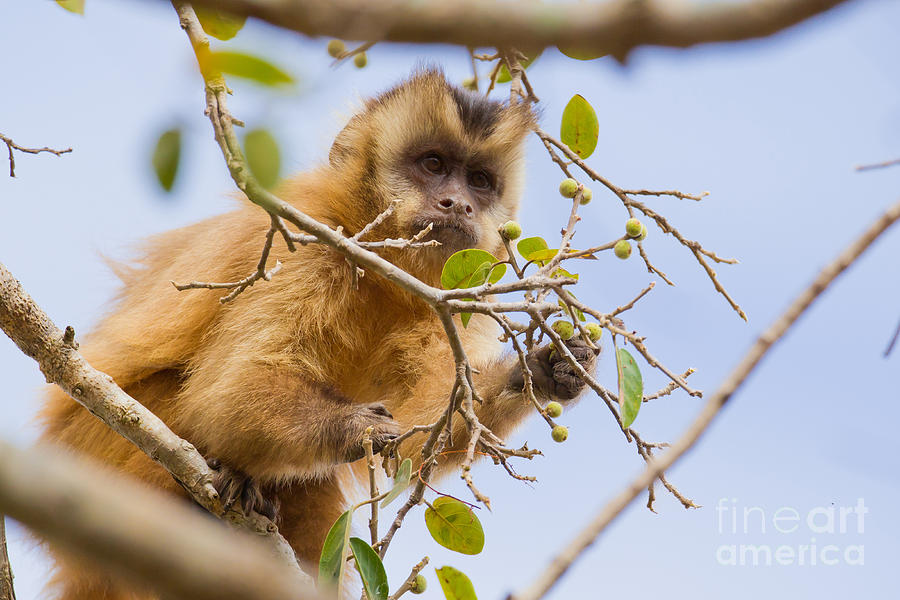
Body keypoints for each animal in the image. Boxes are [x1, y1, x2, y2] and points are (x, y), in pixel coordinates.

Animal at [37, 69, 598, 600]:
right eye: (434, 165)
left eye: (479, 181)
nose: (458, 203)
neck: (381, 270)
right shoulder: (311, 243)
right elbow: (226, 395)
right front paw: (356, 428)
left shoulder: (458, 297)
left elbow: (420, 442)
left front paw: (546, 370)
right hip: (94, 450)